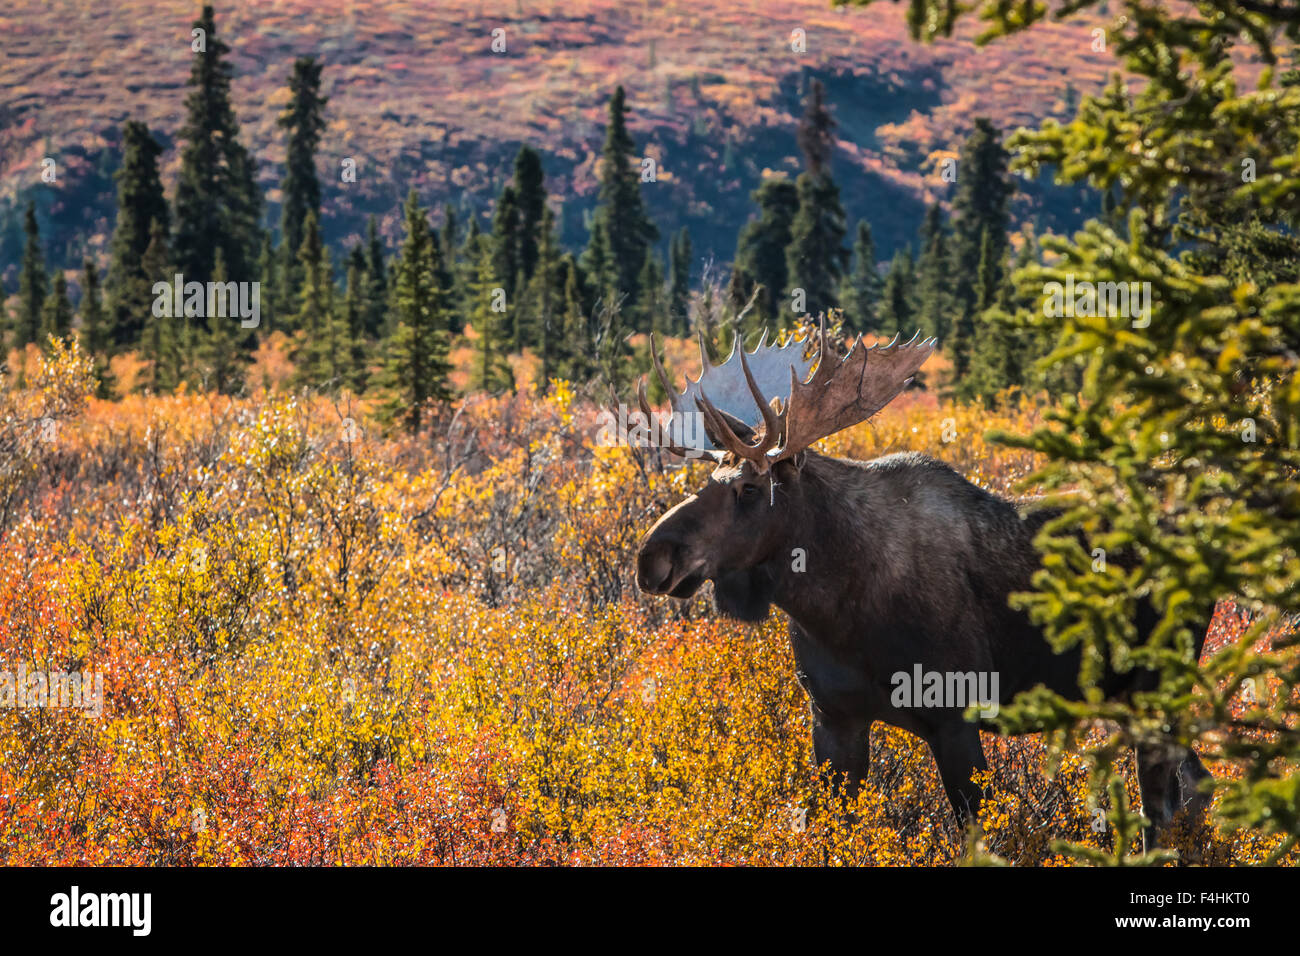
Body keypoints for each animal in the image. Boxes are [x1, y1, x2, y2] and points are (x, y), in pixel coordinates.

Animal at [633, 319, 1213, 847]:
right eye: (710, 479)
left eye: (751, 489)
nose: (652, 557)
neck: (835, 611)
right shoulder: (833, 718)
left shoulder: (956, 716)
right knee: (1195, 784)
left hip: (1158, 681)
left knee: (1161, 802)